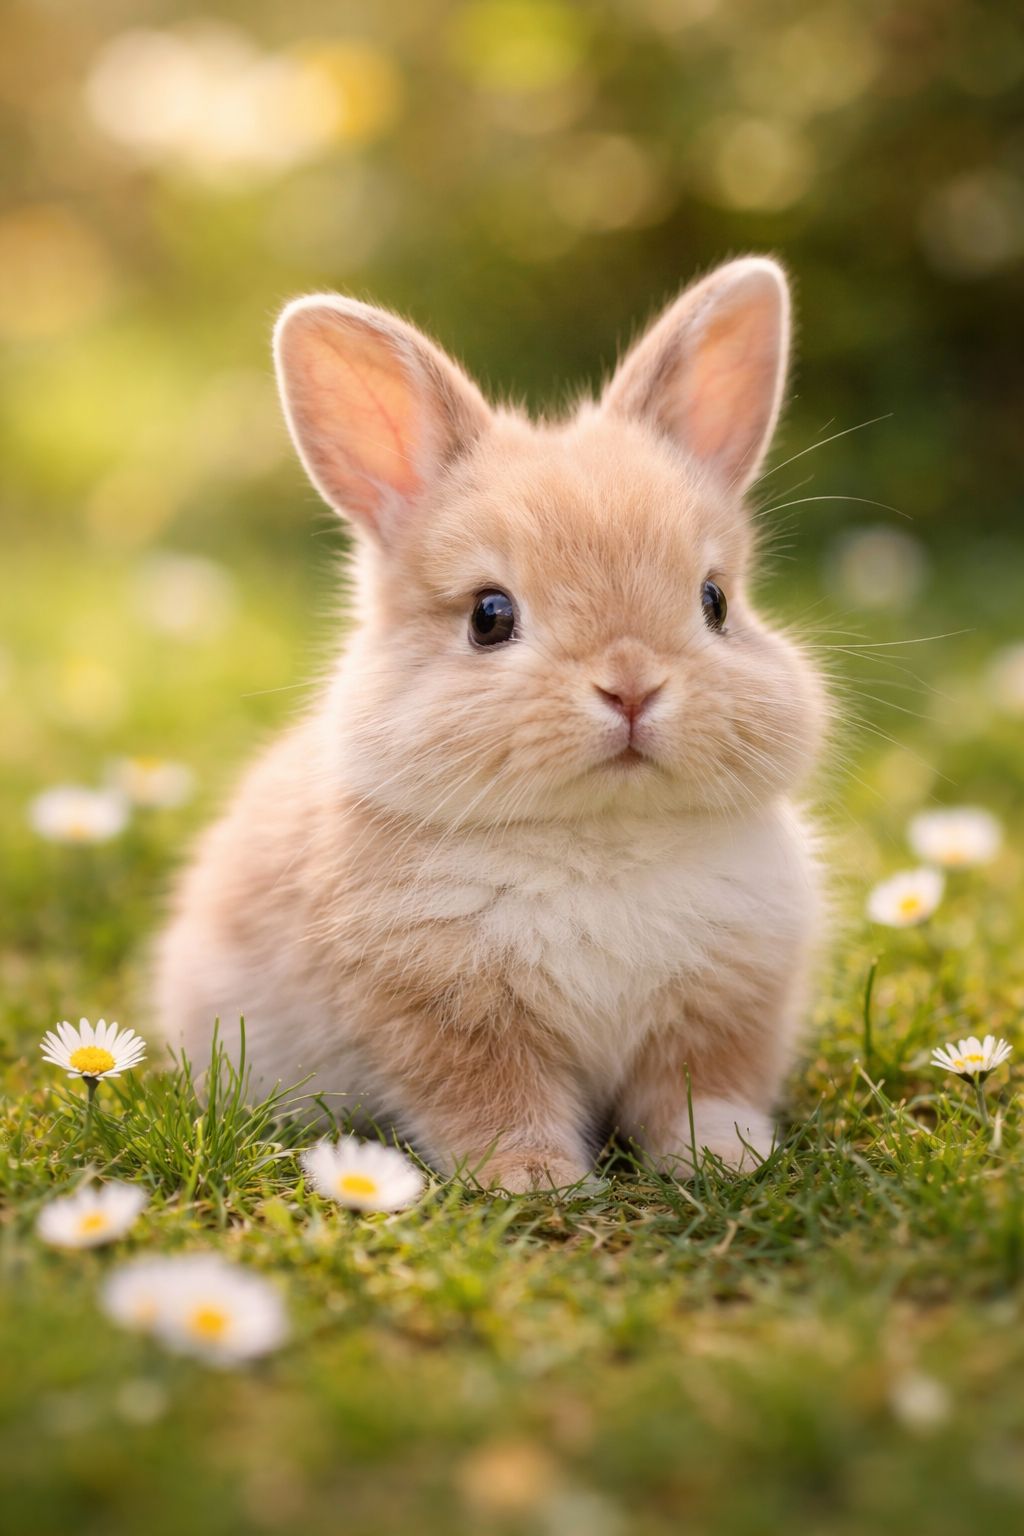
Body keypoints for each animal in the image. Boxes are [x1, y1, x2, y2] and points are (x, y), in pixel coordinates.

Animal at [154, 256, 826, 1191]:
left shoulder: (720, 1012)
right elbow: (497, 1102)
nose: (631, 687)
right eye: (489, 616)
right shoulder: (452, 1023)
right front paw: (535, 1179)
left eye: (715, 602)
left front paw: (722, 1156)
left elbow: (698, 1088)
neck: (601, 836)